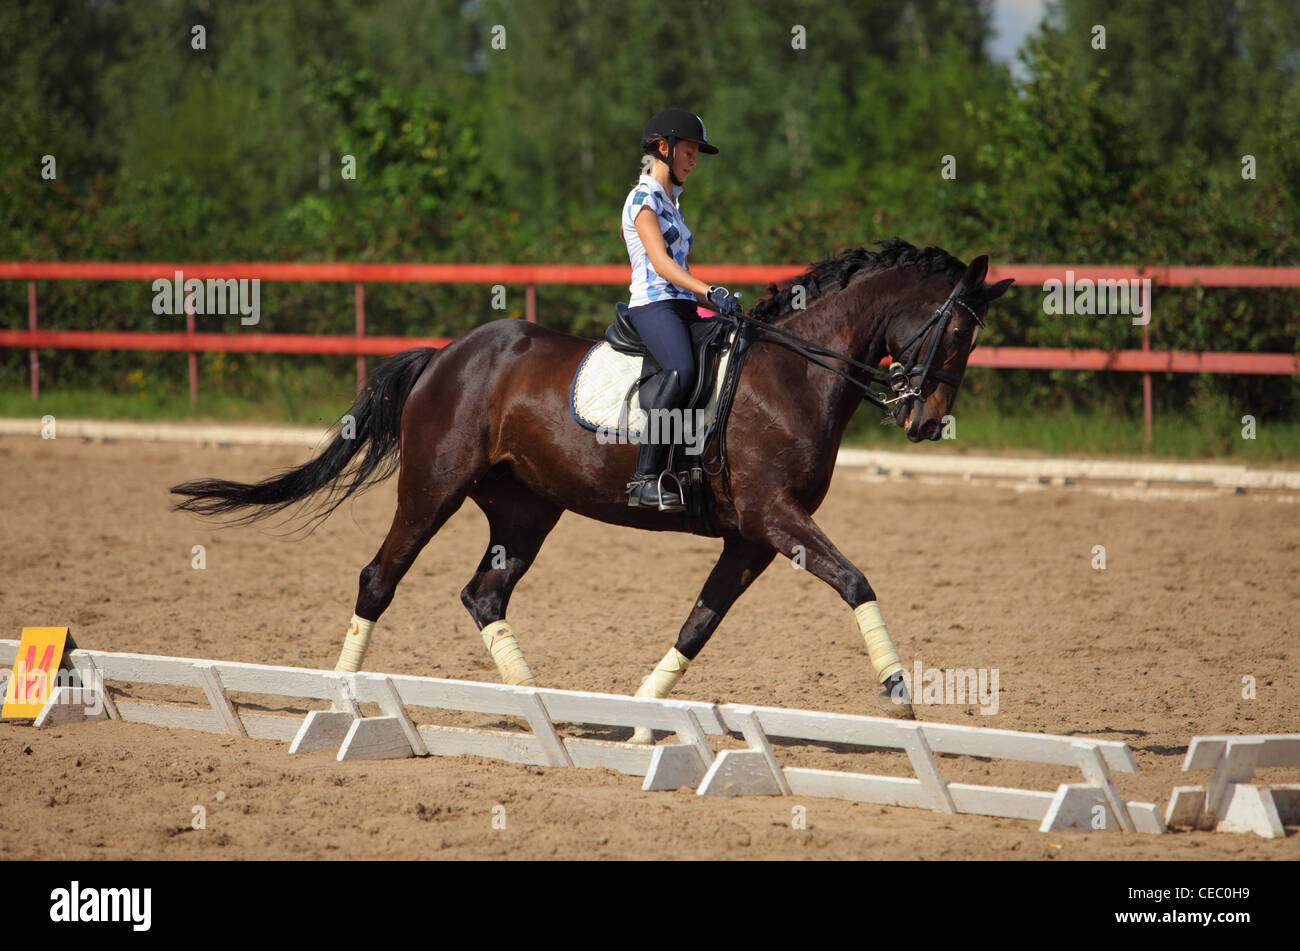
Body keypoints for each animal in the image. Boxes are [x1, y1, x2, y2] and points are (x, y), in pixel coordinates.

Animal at [171, 238, 1013, 740]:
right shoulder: (776, 516)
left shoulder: (753, 536)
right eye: (955, 333)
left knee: (483, 594)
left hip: (527, 509)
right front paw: (898, 688)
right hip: (432, 489)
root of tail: (448, 352)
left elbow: (700, 623)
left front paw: (641, 718)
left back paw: (546, 710)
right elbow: (855, 579)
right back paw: (342, 700)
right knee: (379, 577)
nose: (925, 423)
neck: (795, 369)